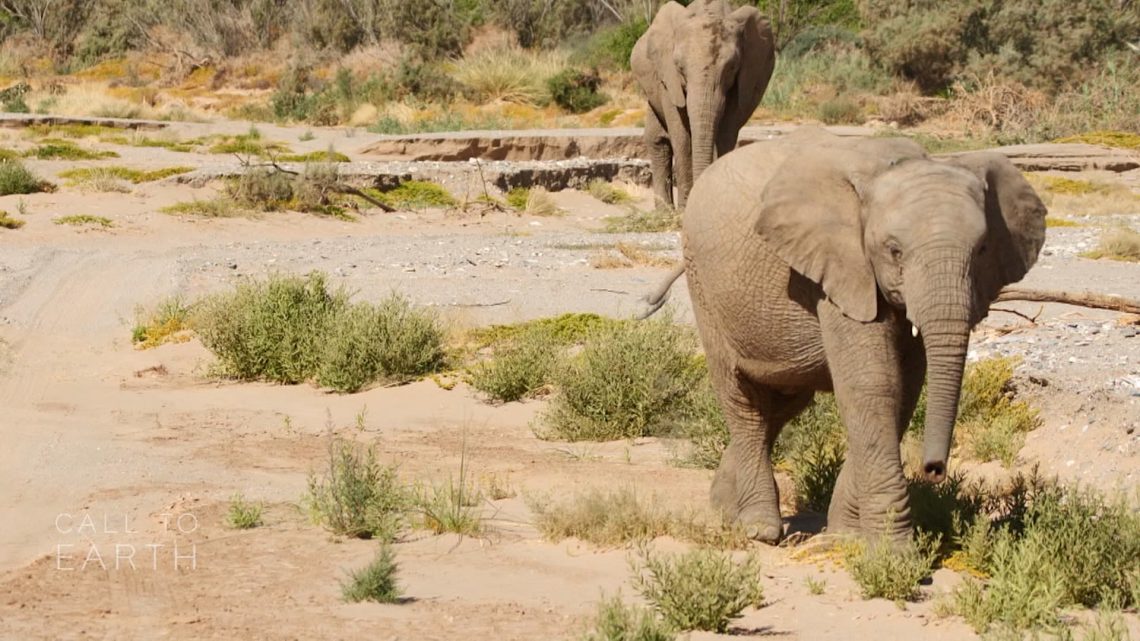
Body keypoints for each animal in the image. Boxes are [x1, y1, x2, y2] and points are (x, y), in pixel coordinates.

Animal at [631, 0, 776, 210]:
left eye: (732, 67)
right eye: (679, 67)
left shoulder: (745, 77)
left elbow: (725, 131)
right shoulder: (668, 77)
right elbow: (681, 135)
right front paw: (685, 209)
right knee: (657, 140)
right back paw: (664, 211)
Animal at [642, 128, 1047, 543]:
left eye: (982, 250)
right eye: (894, 251)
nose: (934, 470)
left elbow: (904, 388)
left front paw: (847, 536)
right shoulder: (839, 270)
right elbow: (873, 384)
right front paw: (891, 548)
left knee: (783, 402)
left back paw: (725, 509)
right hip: (704, 286)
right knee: (743, 400)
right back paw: (759, 528)